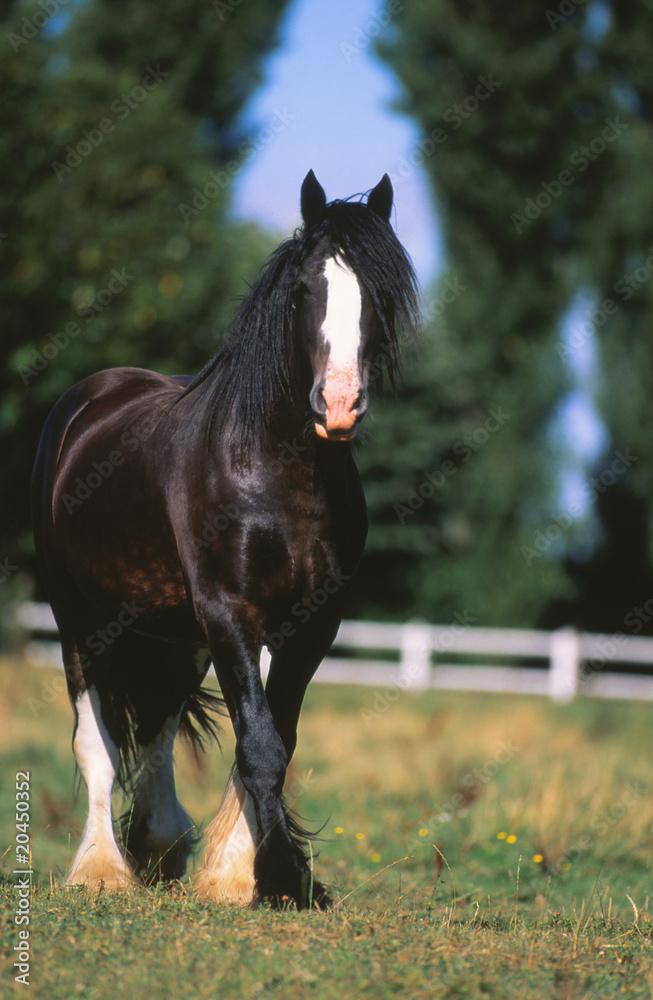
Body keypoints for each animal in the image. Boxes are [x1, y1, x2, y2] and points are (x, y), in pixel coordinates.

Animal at [31, 169, 419, 908]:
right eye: (304, 291)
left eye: (380, 296)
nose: (339, 405)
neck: (277, 474)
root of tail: (89, 399)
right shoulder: (229, 615)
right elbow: (258, 744)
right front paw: (283, 876)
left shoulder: (309, 624)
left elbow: (272, 738)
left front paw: (238, 874)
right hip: (80, 617)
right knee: (96, 741)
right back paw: (101, 870)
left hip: (172, 634)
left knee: (156, 726)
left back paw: (157, 845)